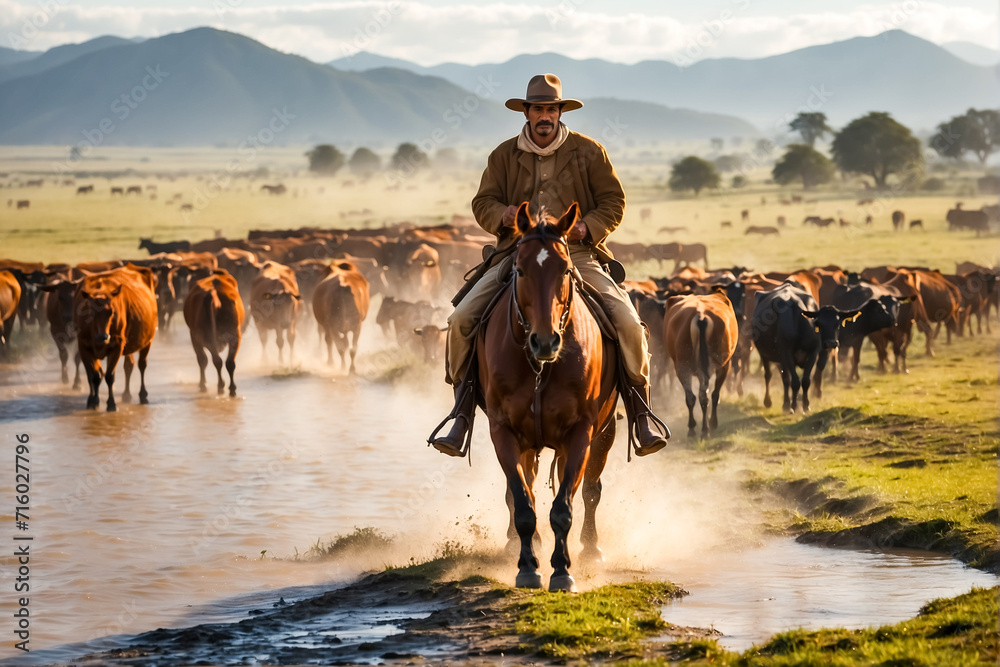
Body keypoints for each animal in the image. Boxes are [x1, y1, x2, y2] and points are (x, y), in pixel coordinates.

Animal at [74, 265, 158, 411]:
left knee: (142, 365)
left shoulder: (117, 345)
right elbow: (94, 375)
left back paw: (142, 395)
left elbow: (109, 376)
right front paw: (93, 400)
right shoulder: (83, 345)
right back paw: (126, 394)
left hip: (147, 341)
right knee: (129, 365)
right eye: (90, 312)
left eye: (111, 312)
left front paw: (111, 403)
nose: (103, 337)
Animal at [477, 202, 620, 592]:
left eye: (566, 269)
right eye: (520, 269)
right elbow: (523, 504)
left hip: (605, 432)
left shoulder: (581, 433)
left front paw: (562, 571)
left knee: (592, 490)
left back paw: (592, 550)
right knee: (521, 491)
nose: (545, 341)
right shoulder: (503, 432)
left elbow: (564, 507)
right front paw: (527, 567)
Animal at [663, 290, 739, 436]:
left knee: (693, 397)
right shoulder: (724, 366)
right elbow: (714, 394)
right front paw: (712, 423)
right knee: (706, 396)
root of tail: (701, 316)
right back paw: (704, 428)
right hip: (717, 365)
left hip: (683, 367)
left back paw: (696, 428)